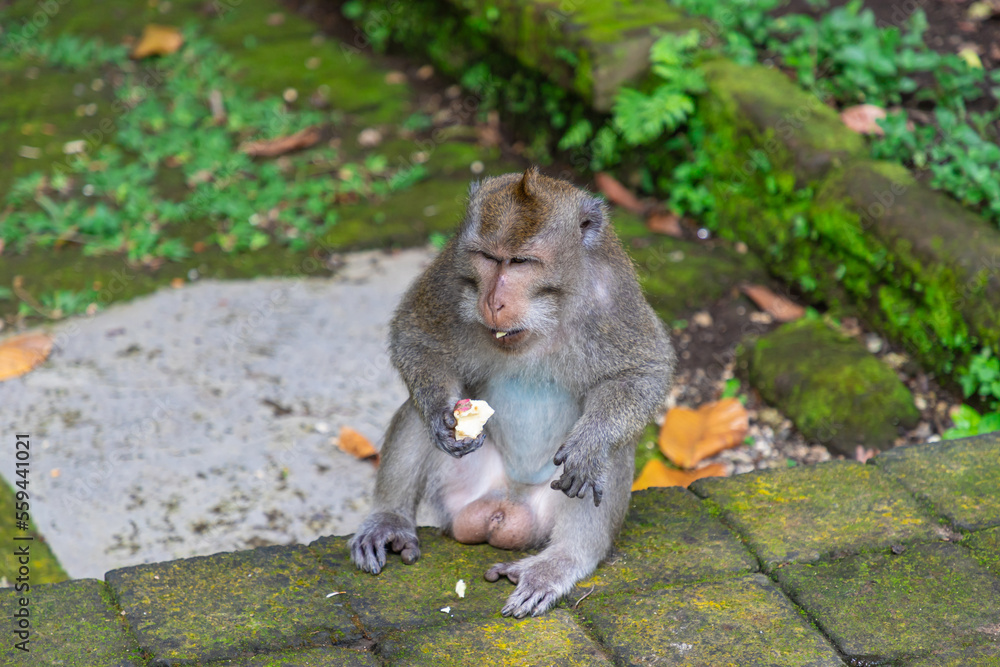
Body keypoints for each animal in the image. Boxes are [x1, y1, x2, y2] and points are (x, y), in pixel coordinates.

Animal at [349, 166, 674, 618]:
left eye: (521, 262)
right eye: (487, 257)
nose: (493, 301)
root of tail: (508, 504)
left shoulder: (614, 296)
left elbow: (643, 372)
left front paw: (590, 443)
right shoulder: (450, 272)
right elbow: (415, 336)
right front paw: (441, 415)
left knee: (614, 451)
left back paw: (563, 560)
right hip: (461, 493)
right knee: (413, 411)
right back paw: (389, 520)